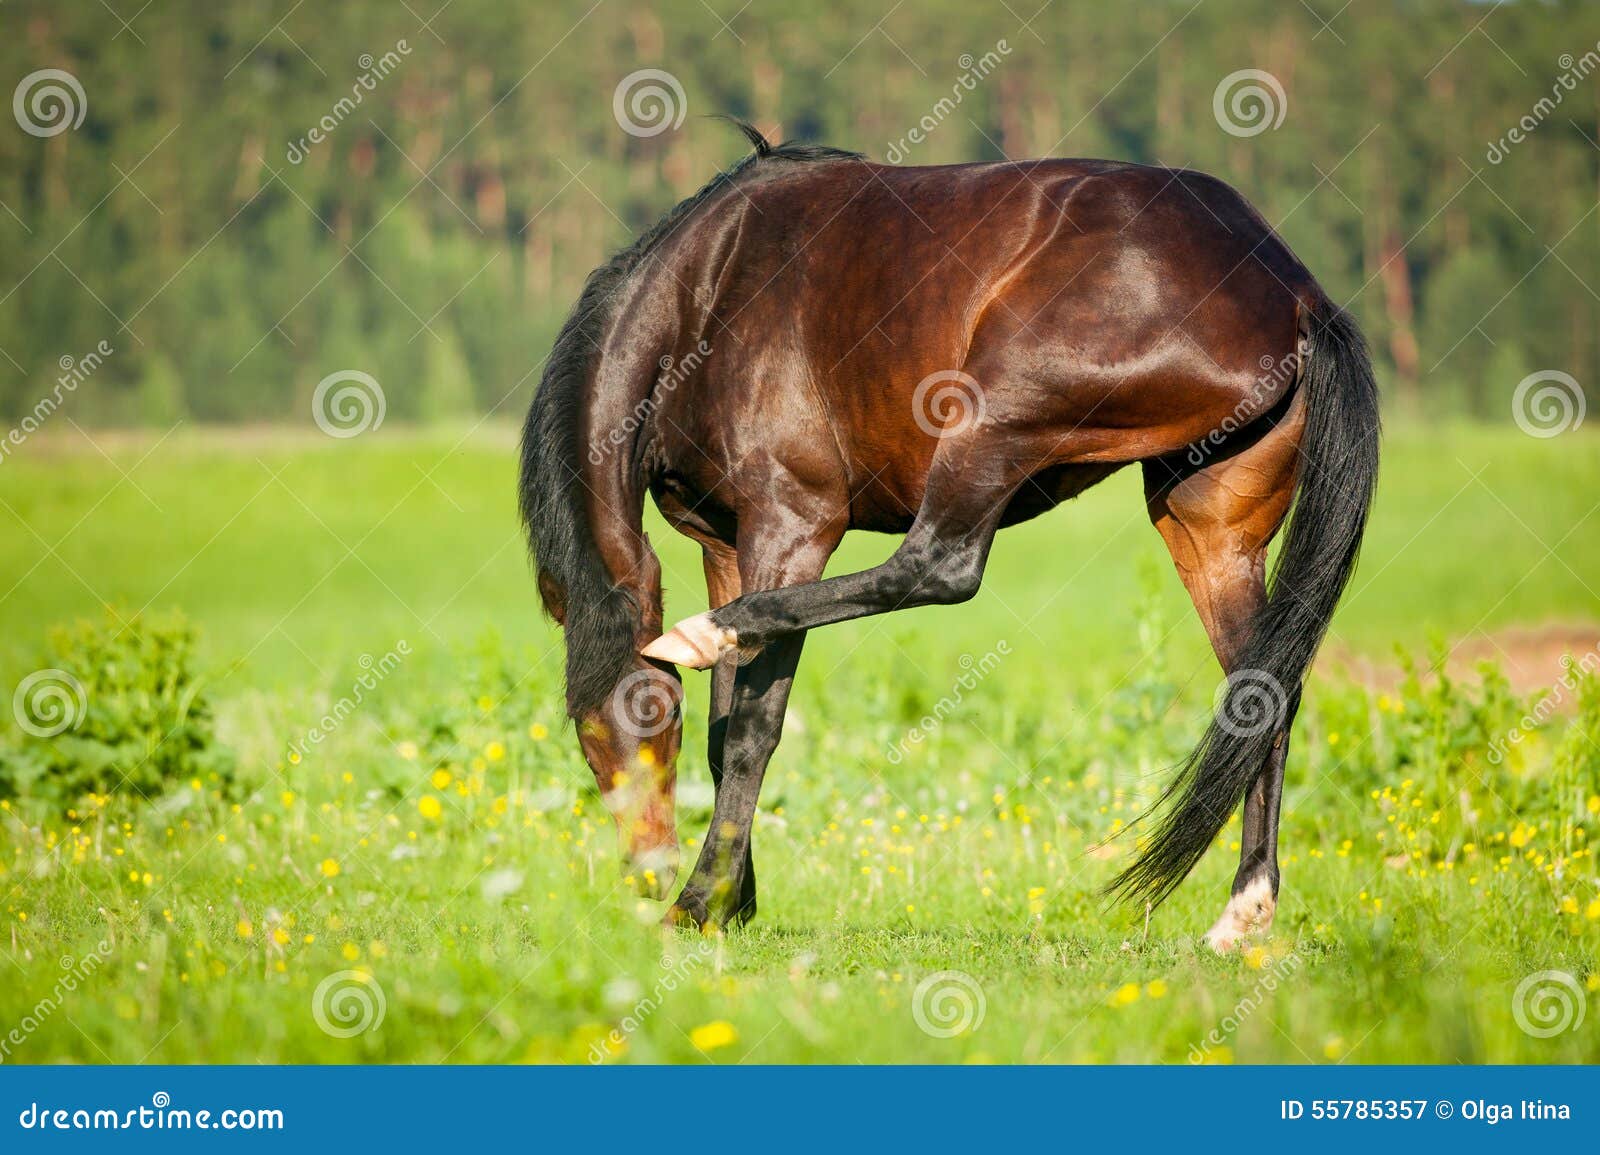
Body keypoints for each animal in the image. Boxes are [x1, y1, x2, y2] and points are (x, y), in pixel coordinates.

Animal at [518, 122, 1379, 951]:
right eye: (588, 741)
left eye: (649, 715)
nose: (648, 879)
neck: (704, 292)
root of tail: (1291, 289)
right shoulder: (725, 542)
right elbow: (726, 718)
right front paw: (734, 894)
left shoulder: (790, 524)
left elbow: (753, 725)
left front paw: (704, 901)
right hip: (1206, 524)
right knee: (1262, 686)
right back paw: (1244, 911)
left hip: (995, 412)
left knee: (938, 564)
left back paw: (703, 635)